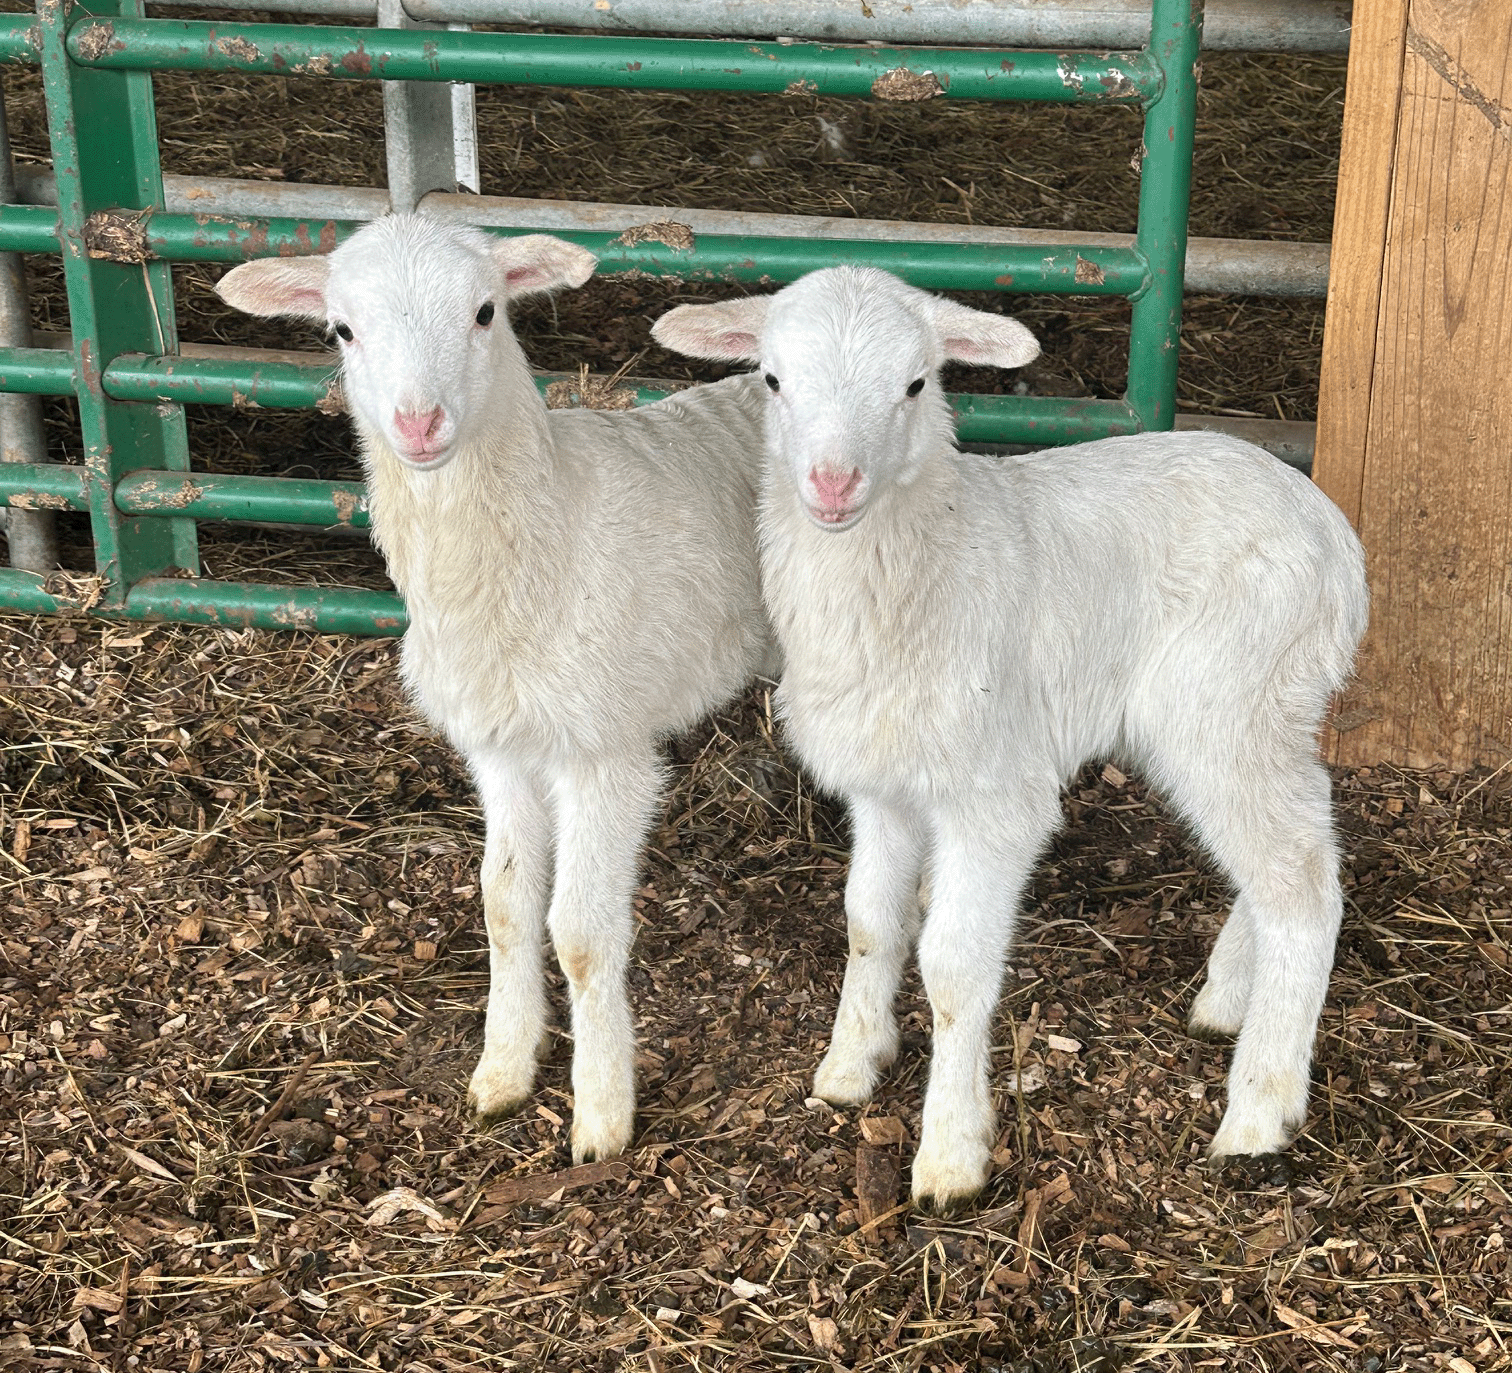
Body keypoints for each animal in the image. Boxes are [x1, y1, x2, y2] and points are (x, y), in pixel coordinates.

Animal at [217, 214, 774, 1164]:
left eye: (485, 311)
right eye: (342, 329)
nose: (418, 422)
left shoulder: (605, 749)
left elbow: (579, 934)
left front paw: (601, 1113)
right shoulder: (499, 744)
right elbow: (505, 904)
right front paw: (504, 1068)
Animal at [653, 265, 1369, 1208]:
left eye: (916, 384)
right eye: (772, 379)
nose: (833, 484)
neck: (933, 559)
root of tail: (1338, 540)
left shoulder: (994, 795)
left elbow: (953, 965)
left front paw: (950, 1153)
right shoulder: (884, 784)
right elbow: (869, 921)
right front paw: (849, 1065)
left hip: (1230, 700)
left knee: (1303, 882)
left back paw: (1258, 1112)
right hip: (1265, 707)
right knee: (1293, 840)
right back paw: (1226, 997)